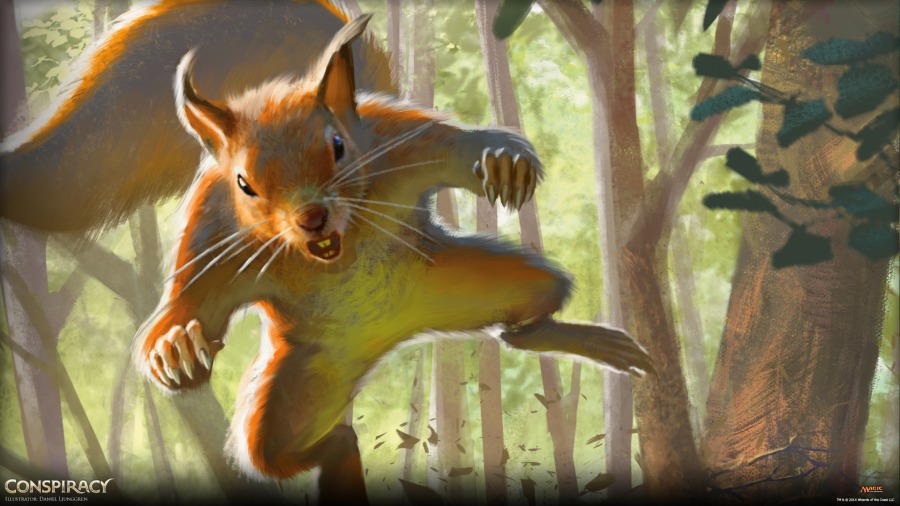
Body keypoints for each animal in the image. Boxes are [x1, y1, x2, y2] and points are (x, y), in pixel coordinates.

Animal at [1, 0, 652, 486]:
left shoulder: (402, 143)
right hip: (301, 382)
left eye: (338, 147)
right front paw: (175, 346)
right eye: (244, 183)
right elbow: (190, 304)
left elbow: (458, 146)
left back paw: (589, 339)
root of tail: (387, 334)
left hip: (476, 281)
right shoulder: (216, 239)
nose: (312, 217)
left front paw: (502, 159)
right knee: (298, 447)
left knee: (527, 316)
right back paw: (338, 448)